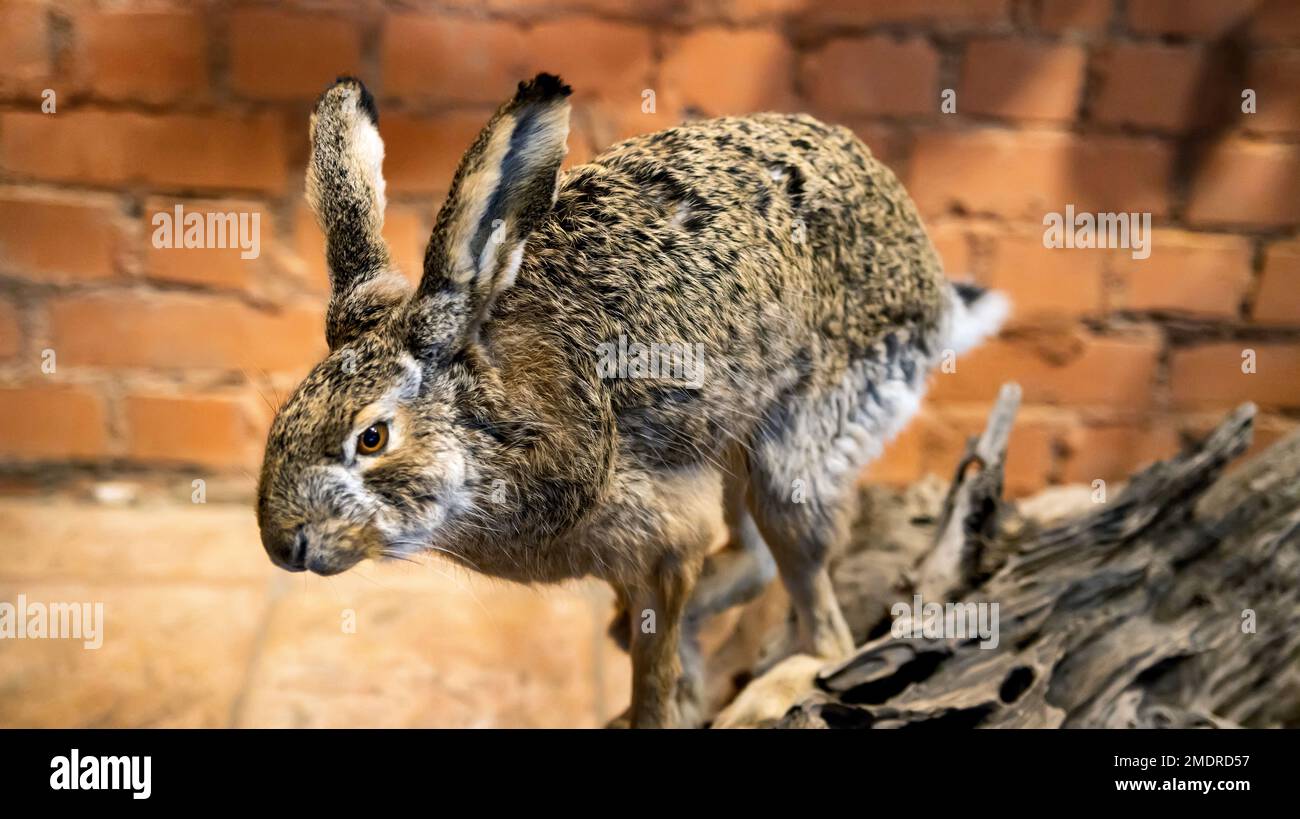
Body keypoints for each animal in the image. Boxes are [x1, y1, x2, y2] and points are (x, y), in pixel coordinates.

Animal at [256, 72, 1009, 728]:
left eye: (373, 436)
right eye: (285, 415)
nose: (283, 544)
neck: (495, 421)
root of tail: (932, 291)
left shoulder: (664, 541)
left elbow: (657, 665)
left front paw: (656, 710)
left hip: (798, 451)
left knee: (822, 622)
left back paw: (761, 697)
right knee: (759, 561)